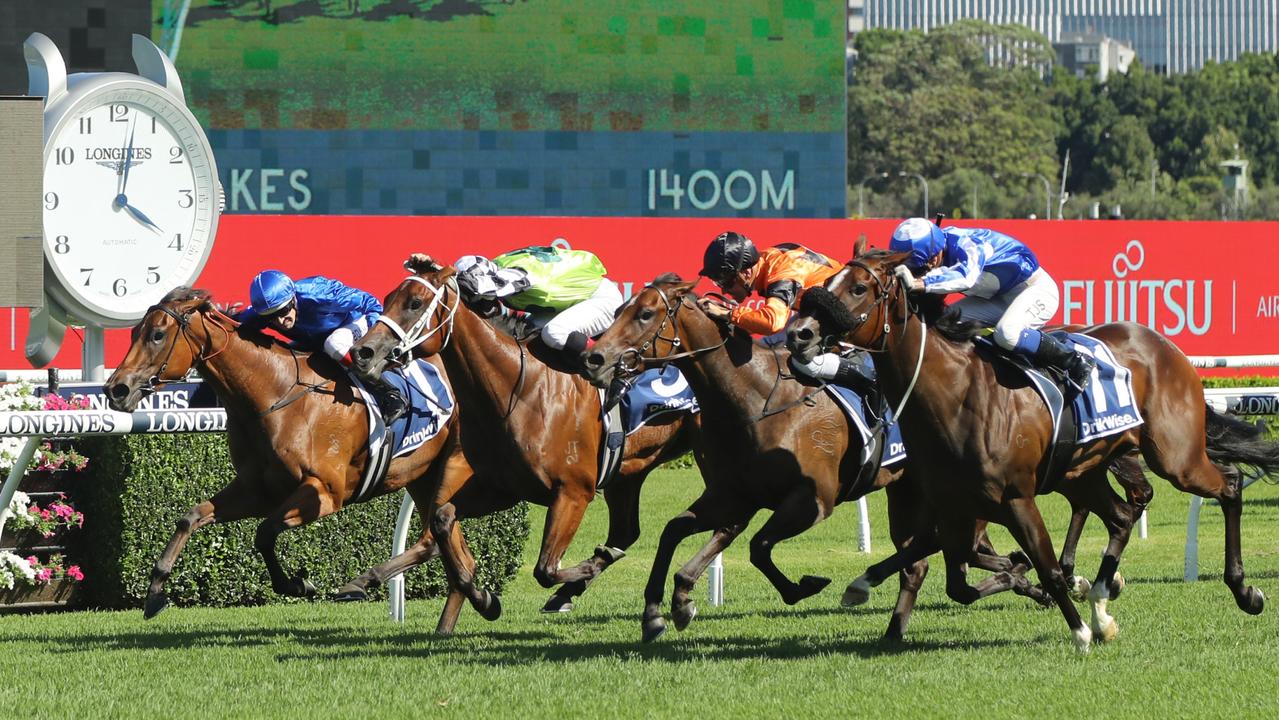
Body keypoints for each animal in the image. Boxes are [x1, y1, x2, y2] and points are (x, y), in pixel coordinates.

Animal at [103, 287, 479, 630]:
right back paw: (457, 616)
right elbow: (190, 518)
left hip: (453, 467)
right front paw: (155, 593)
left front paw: (297, 584)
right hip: (423, 476)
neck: (276, 393)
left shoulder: (324, 493)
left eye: (157, 334)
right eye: (135, 332)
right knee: (451, 548)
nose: (115, 389)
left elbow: (264, 532)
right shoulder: (257, 491)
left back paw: (362, 583)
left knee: (434, 538)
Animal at [348, 257, 699, 617]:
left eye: (415, 303)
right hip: (629, 471)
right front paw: (485, 599)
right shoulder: (503, 488)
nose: (362, 352)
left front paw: (585, 566)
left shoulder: (574, 491)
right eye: (388, 297)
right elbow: (442, 520)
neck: (519, 388)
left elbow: (545, 569)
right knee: (626, 531)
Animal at [579, 273, 1064, 642]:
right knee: (933, 560)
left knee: (956, 553)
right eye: (619, 312)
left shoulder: (813, 500)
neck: (754, 399)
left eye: (645, 314)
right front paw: (662, 611)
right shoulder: (734, 495)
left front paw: (804, 586)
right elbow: (674, 531)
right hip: (910, 494)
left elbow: (759, 547)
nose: (594, 358)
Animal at [787, 239, 1279, 650]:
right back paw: (1102, 603)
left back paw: (1243, 590)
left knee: (1228, 485)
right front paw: (860, 585)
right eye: (825, 284)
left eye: (858, 288)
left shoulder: (1015, 498)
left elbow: (1041, 564)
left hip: (1175, 455)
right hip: (1083, 470)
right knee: (1123, 515)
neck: (955, 394)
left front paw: (1076, 629)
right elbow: (933, 556)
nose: (799, 334)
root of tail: (1163, 345)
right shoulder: (956, 502)